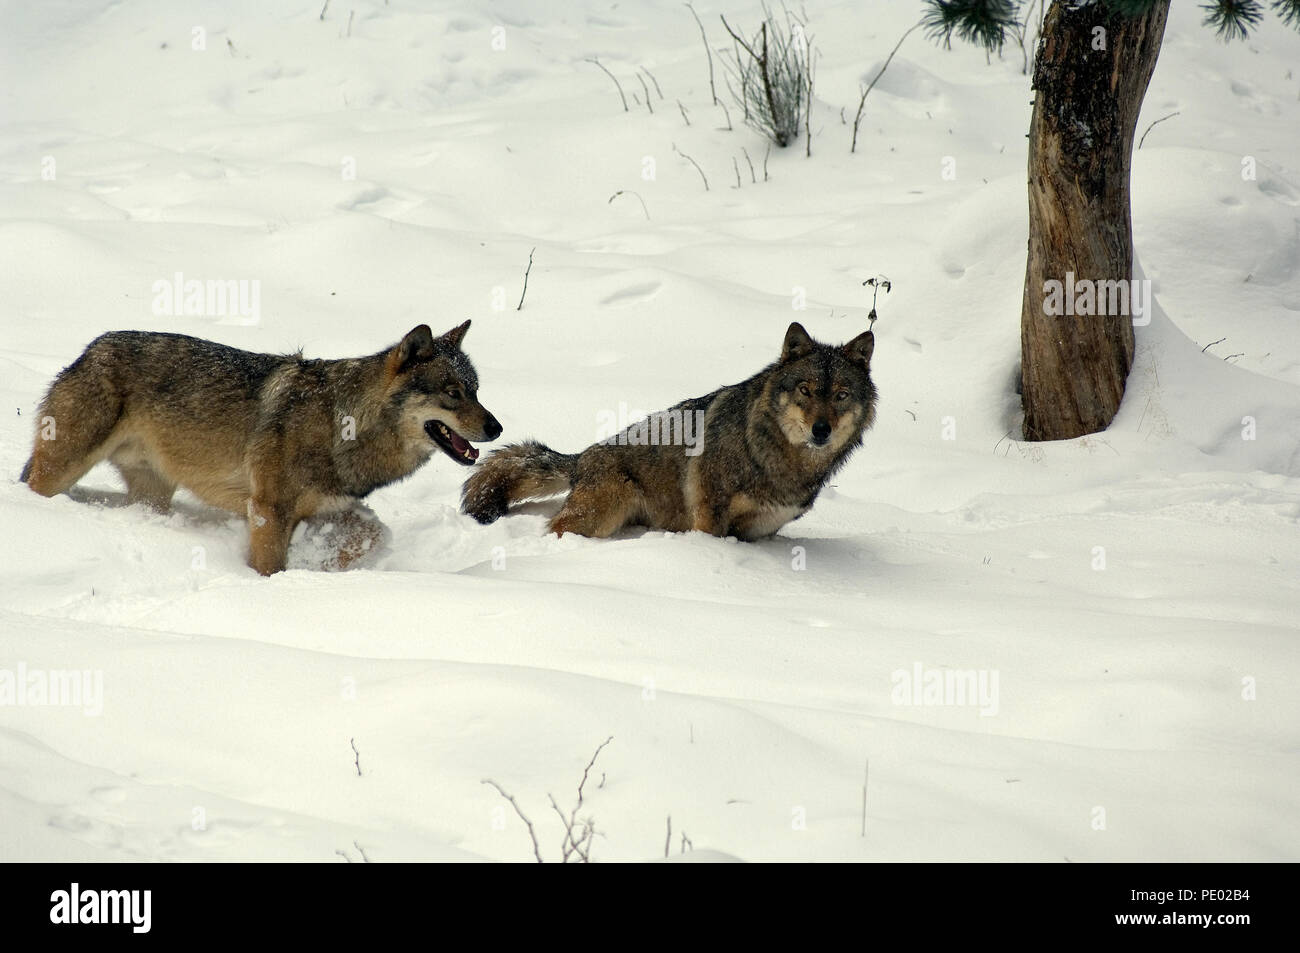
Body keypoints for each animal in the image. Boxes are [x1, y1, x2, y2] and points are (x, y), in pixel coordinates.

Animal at [21, 322, 501, 575]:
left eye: (477, 391)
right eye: (453, 393)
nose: (496, 428)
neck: (342, 423)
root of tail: (91, 348)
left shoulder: (325, 506)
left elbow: (374, 532)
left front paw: (322, 561)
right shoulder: (269, 508)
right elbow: (269, 565)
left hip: (153, 492)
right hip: (61, 469)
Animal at [462, 322, 876, 540]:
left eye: (841, 395)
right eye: (806, 390)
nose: (821, 430)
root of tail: (581, 457)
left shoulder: (763, 530)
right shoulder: (710, 516)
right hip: (604, 511)